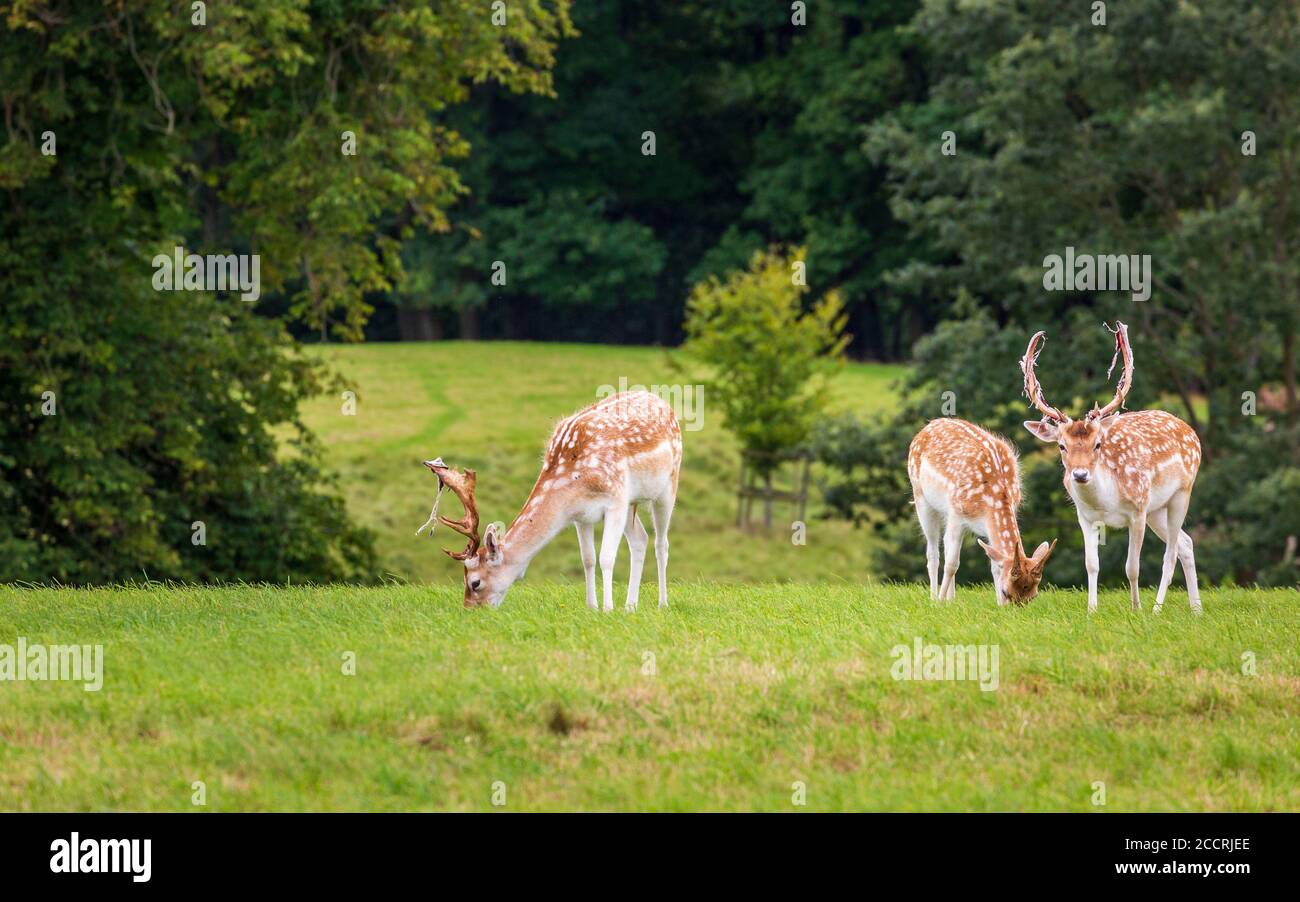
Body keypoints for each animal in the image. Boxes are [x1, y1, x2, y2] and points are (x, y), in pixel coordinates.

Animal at [420, 390, 682, 610]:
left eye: (475, 582)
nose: (469, 610)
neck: (573, 480)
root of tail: (662, 402)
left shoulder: (615, 499)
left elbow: (606, 558)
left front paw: (607, 609)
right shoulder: (581, 515)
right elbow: (588, 559)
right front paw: (592, 608)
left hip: (668, 483)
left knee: (661, 543)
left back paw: (662, 603)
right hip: (632, 502)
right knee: (640, 539)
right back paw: (630, 606)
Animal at [908, 418, 1057, 605]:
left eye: (1033, 596)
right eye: (1006, 592)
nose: (1009, 608)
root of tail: (928, 425)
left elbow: (994, 565)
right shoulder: (957, 512)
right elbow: (952, 563)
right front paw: (940, 603)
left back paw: (951, 599)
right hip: (920, 495)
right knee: (932, 551)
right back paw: (935, 598)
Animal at [1020, 321, 1203, 614]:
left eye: (1098, 444)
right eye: (1061, 446)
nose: (1080, 474)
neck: (1106, 501)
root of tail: (1191, 431)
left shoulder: (1137, 511)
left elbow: (1132, 567)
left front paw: (1136, 609)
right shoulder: (1084, 517)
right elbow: (1091, 565)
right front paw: (1091, 610)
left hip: (1181, 494)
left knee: (1172, 552)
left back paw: (1157, 609)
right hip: (1156, 509)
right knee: (1186, 543)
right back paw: (1197, 610)